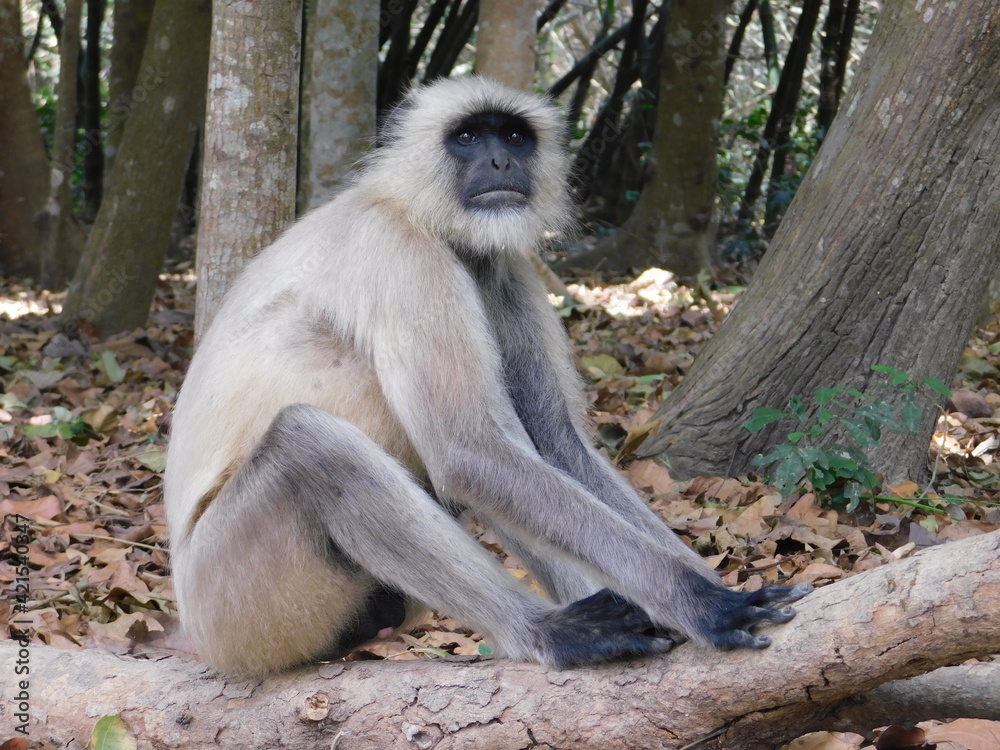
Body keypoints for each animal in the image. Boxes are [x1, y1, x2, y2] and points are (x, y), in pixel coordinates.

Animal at [164, 76, 811, 676]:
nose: (500, 162)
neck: (422, 215)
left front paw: (705, 587)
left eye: (515, 138)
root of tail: (192, 624)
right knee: (314, 446)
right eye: (470, 137)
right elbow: (468, 451)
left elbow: (554, 444)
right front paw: (703, 603)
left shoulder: (505, 271)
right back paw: (549, 634)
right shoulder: (403, 254)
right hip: (236, 602)